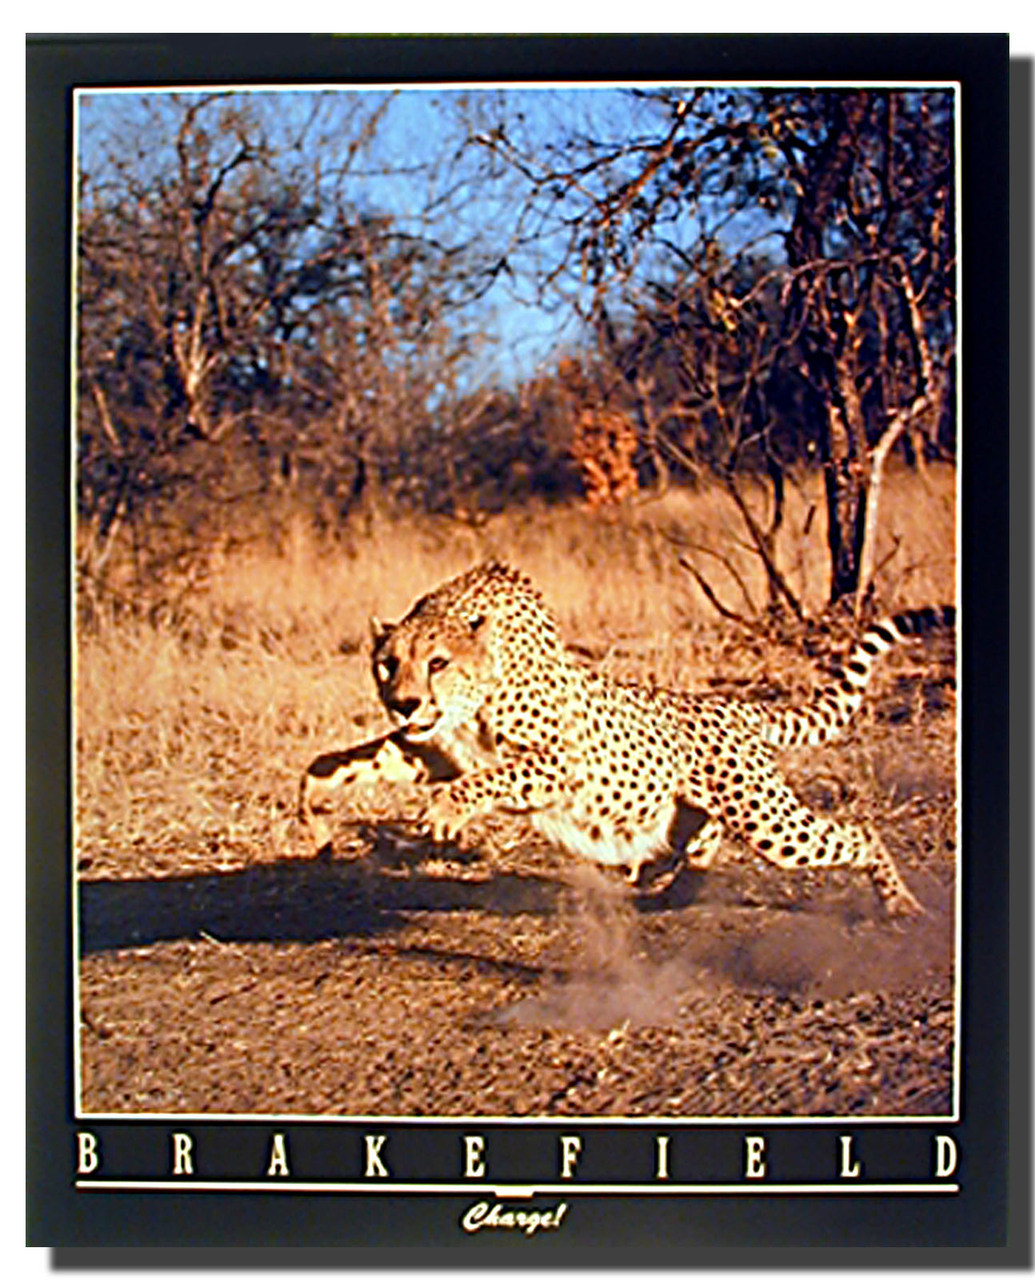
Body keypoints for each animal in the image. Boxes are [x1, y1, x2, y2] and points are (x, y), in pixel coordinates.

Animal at [299, 560, 955, 917]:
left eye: (437, 663)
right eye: (388, 664)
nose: (403, 701)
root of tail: (732, 705)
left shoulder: (562, 764)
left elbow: (491, 776)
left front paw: (444, 816)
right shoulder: (432, 751)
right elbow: (350, 760)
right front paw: (316, 808)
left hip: (769, 822)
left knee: (856, 834)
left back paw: (900, 902)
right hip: (688, 815)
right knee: (701, 846)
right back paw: (670, 892)